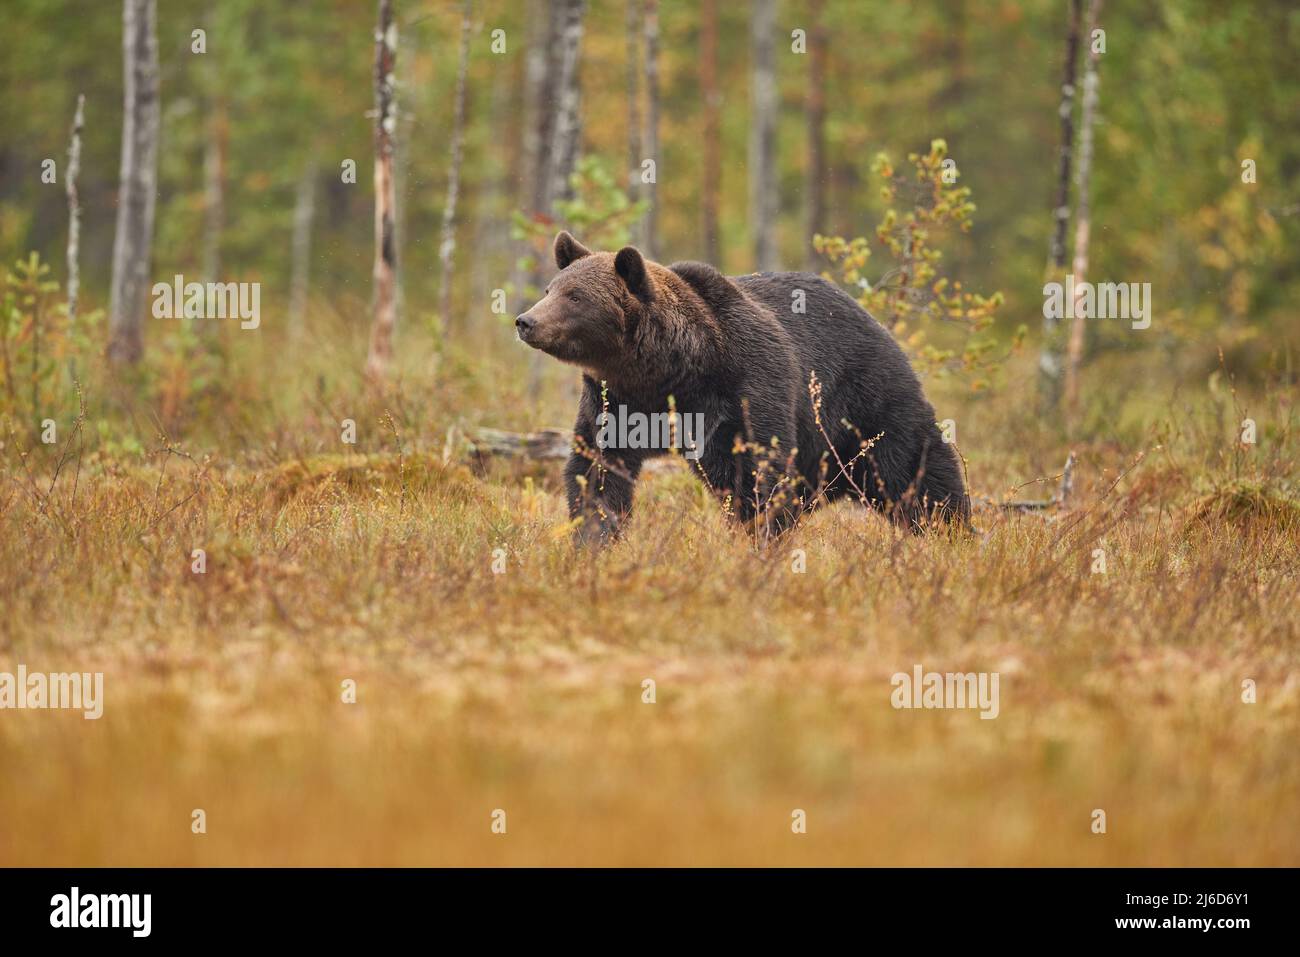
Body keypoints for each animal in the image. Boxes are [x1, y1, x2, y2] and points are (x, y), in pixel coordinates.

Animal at [514, 231, 967, 546]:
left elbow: (755, 471)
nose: (525, 320)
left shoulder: (745, 384)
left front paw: (759, 538)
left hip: (867, 398)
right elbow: (596, 470)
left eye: (574, 296)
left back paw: (953, 532)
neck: (667, 371)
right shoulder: (614, 401)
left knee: (915, 470)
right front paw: (592, 539)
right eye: (550, 289)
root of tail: (871, 317)